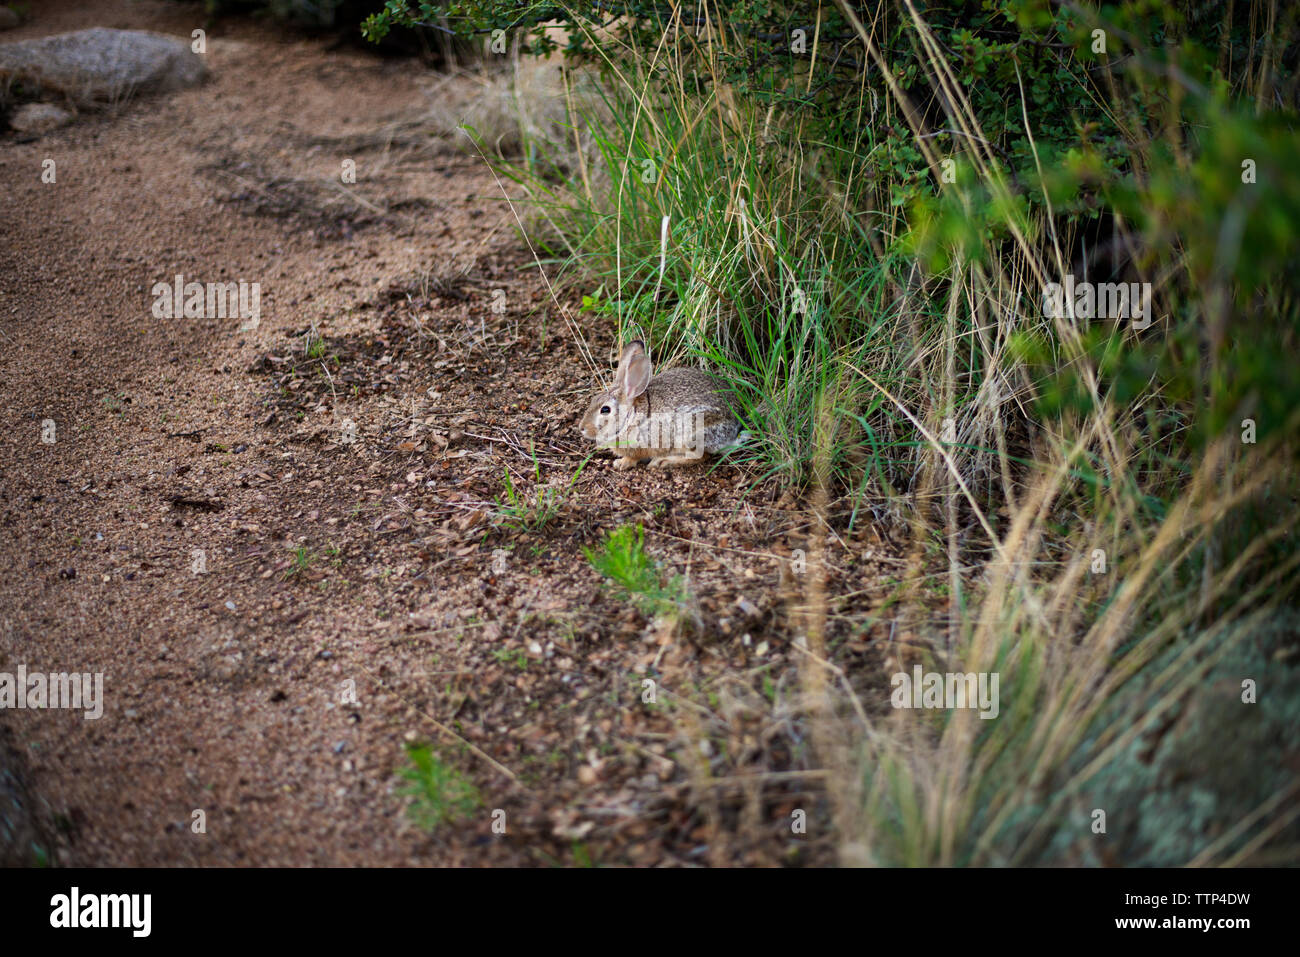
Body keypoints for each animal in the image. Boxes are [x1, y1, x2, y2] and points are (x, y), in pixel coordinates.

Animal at [579, 340, 746, 469]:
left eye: (605, 410)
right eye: (593, 399)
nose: (582, 428)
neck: (631, 417)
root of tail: (734, 429)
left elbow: (633, 457)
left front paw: (621, 463)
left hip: (691, 432)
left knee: (700, 456)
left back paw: (661, 462)